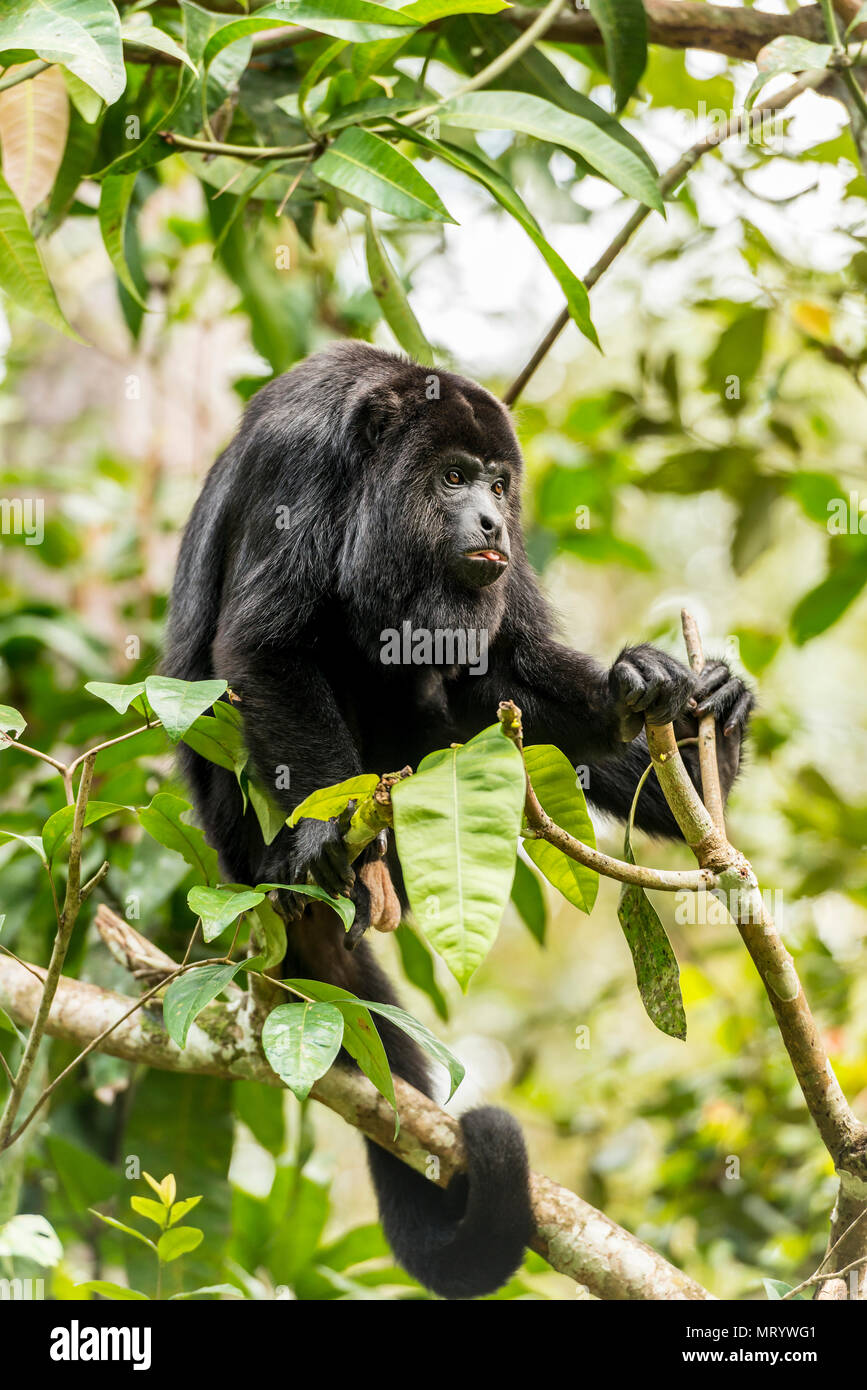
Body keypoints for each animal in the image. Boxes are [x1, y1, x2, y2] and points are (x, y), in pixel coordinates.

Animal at [164, 341, 753, 1299]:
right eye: (449, 477)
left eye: (496, 484)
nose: (489, 521)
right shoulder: (298, 464)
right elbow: (269, 647)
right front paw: (325, 841)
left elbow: (508, 655)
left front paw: (643, 684)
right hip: (238, 823)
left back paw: (708, 745)